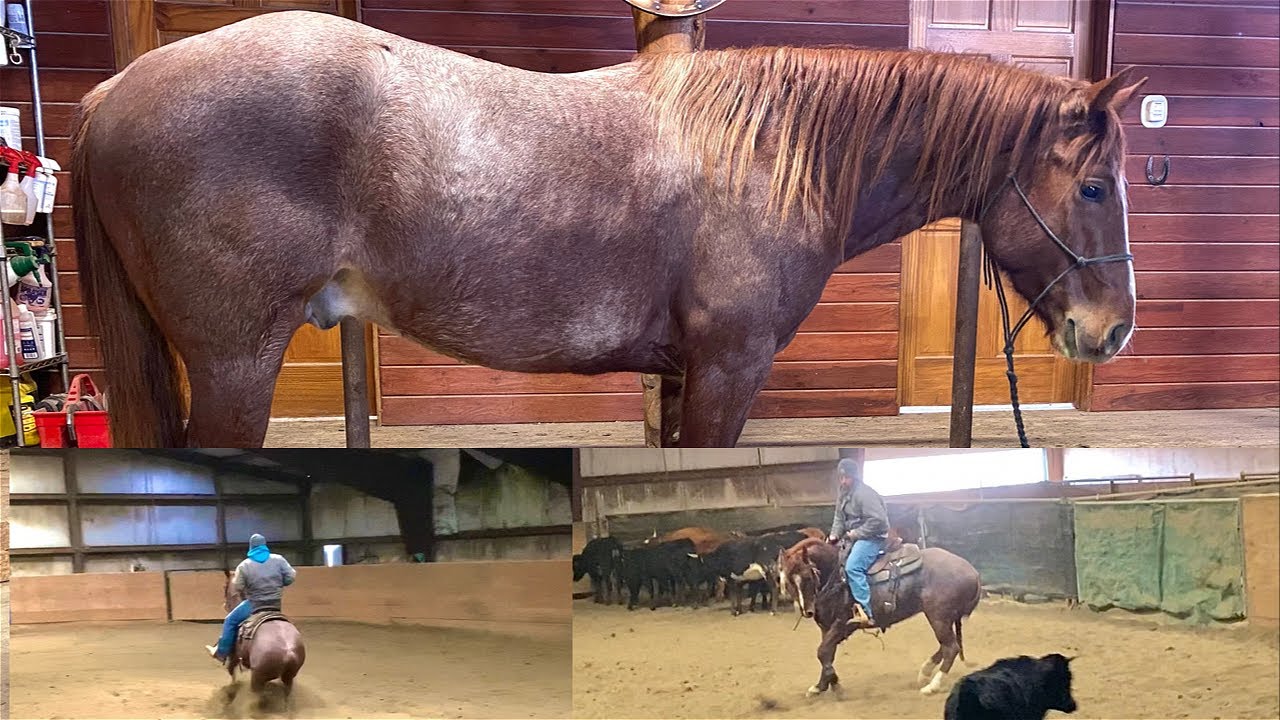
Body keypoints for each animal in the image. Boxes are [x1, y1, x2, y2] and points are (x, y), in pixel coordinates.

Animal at [70, 11, 1145, 447]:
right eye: (1096, 186)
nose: (1112, 331)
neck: (769, 151)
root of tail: (118, 90)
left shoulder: (679, 375)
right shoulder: (726, 369)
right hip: (234, 366)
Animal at [220, 570, 306, 700]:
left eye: (225, 586)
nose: (225, 605)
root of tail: (289, 653)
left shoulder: (233, 656)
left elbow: (231, 672)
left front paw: (231, 690)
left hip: (258, 678)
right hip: (289, 678)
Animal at [779, 535, 982, 697]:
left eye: (807, 577)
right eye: (788, 580)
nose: (807, 611)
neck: (836, 577)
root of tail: (973, 572)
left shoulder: (842, 624)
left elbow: (822, 652)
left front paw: (836, 686)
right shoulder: (827, 627)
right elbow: (827, 654)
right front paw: (820, 686)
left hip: (938, 616)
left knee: (951, 647)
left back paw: (932, 686)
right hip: (943, 618)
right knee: (946, 645)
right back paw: (925, 672)